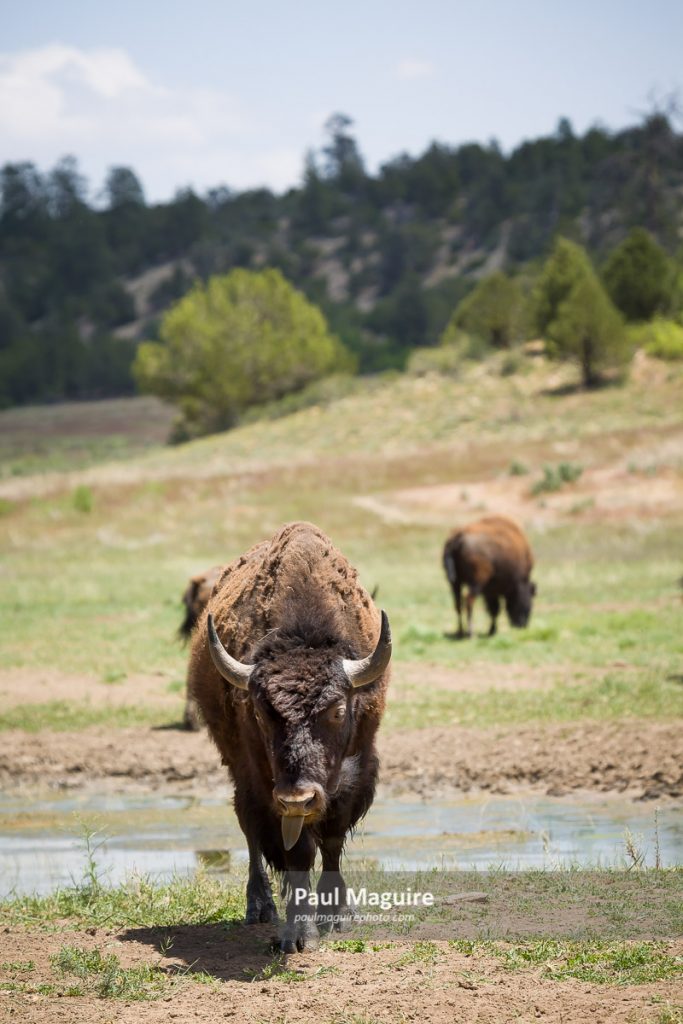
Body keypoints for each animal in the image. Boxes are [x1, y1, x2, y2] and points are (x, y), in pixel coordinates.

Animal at [187, 521, 392, 952]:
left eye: (338, 710)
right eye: (261, 712)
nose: (299, 797)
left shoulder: (356, 771)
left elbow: (331, 839)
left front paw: (338, 916)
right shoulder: (266, 782)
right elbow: (296, 852)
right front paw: (300, 935)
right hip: (242, 773)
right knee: (250, 830)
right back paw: (259, 907)